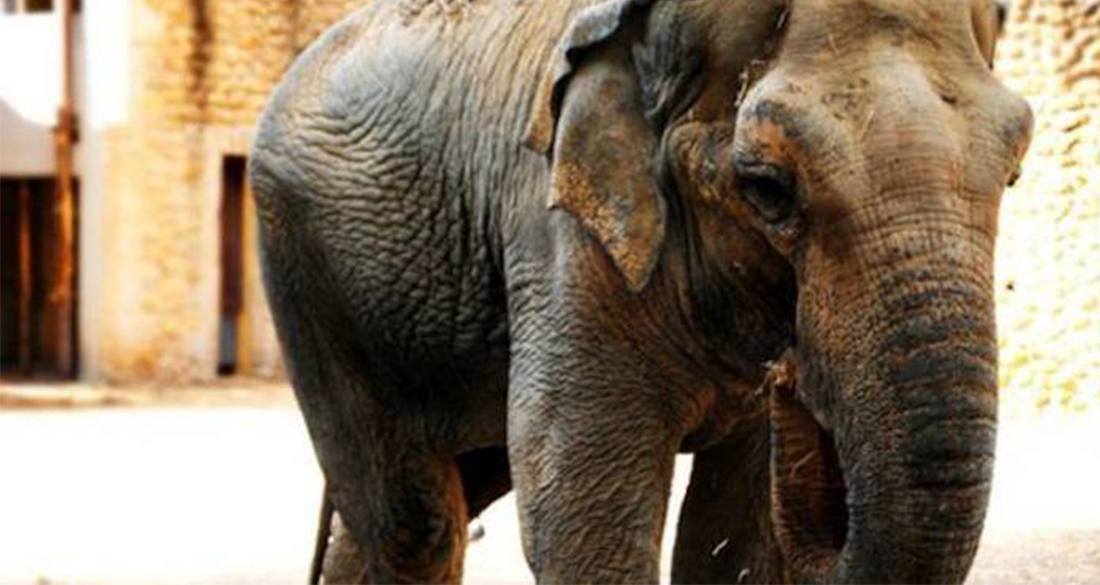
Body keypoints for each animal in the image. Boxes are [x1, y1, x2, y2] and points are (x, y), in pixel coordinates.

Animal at [249, 0, 1032, 582]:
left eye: (1014, 172)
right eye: (767, 188)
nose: (789, 376)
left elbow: (737, 533)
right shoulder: (564, 233)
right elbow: (583, 508)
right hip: (306, 273)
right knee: (414, 522)